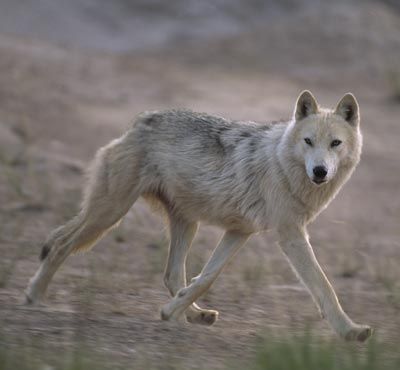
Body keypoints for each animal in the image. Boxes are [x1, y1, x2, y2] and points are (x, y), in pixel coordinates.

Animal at [25, 90, 372, 342]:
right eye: (308, 141)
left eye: (335, 143)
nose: (320, 171)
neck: (283, 165)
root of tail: (140, 121)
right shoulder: (290, 235)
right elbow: (324, 286)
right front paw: (351, 331)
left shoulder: (239, 231)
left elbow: (206, 277)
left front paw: (171, 311)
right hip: (110, 214)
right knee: (60, 246)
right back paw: (34, 297)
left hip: (183, 223)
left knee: (171, 274)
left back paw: (193, 314)